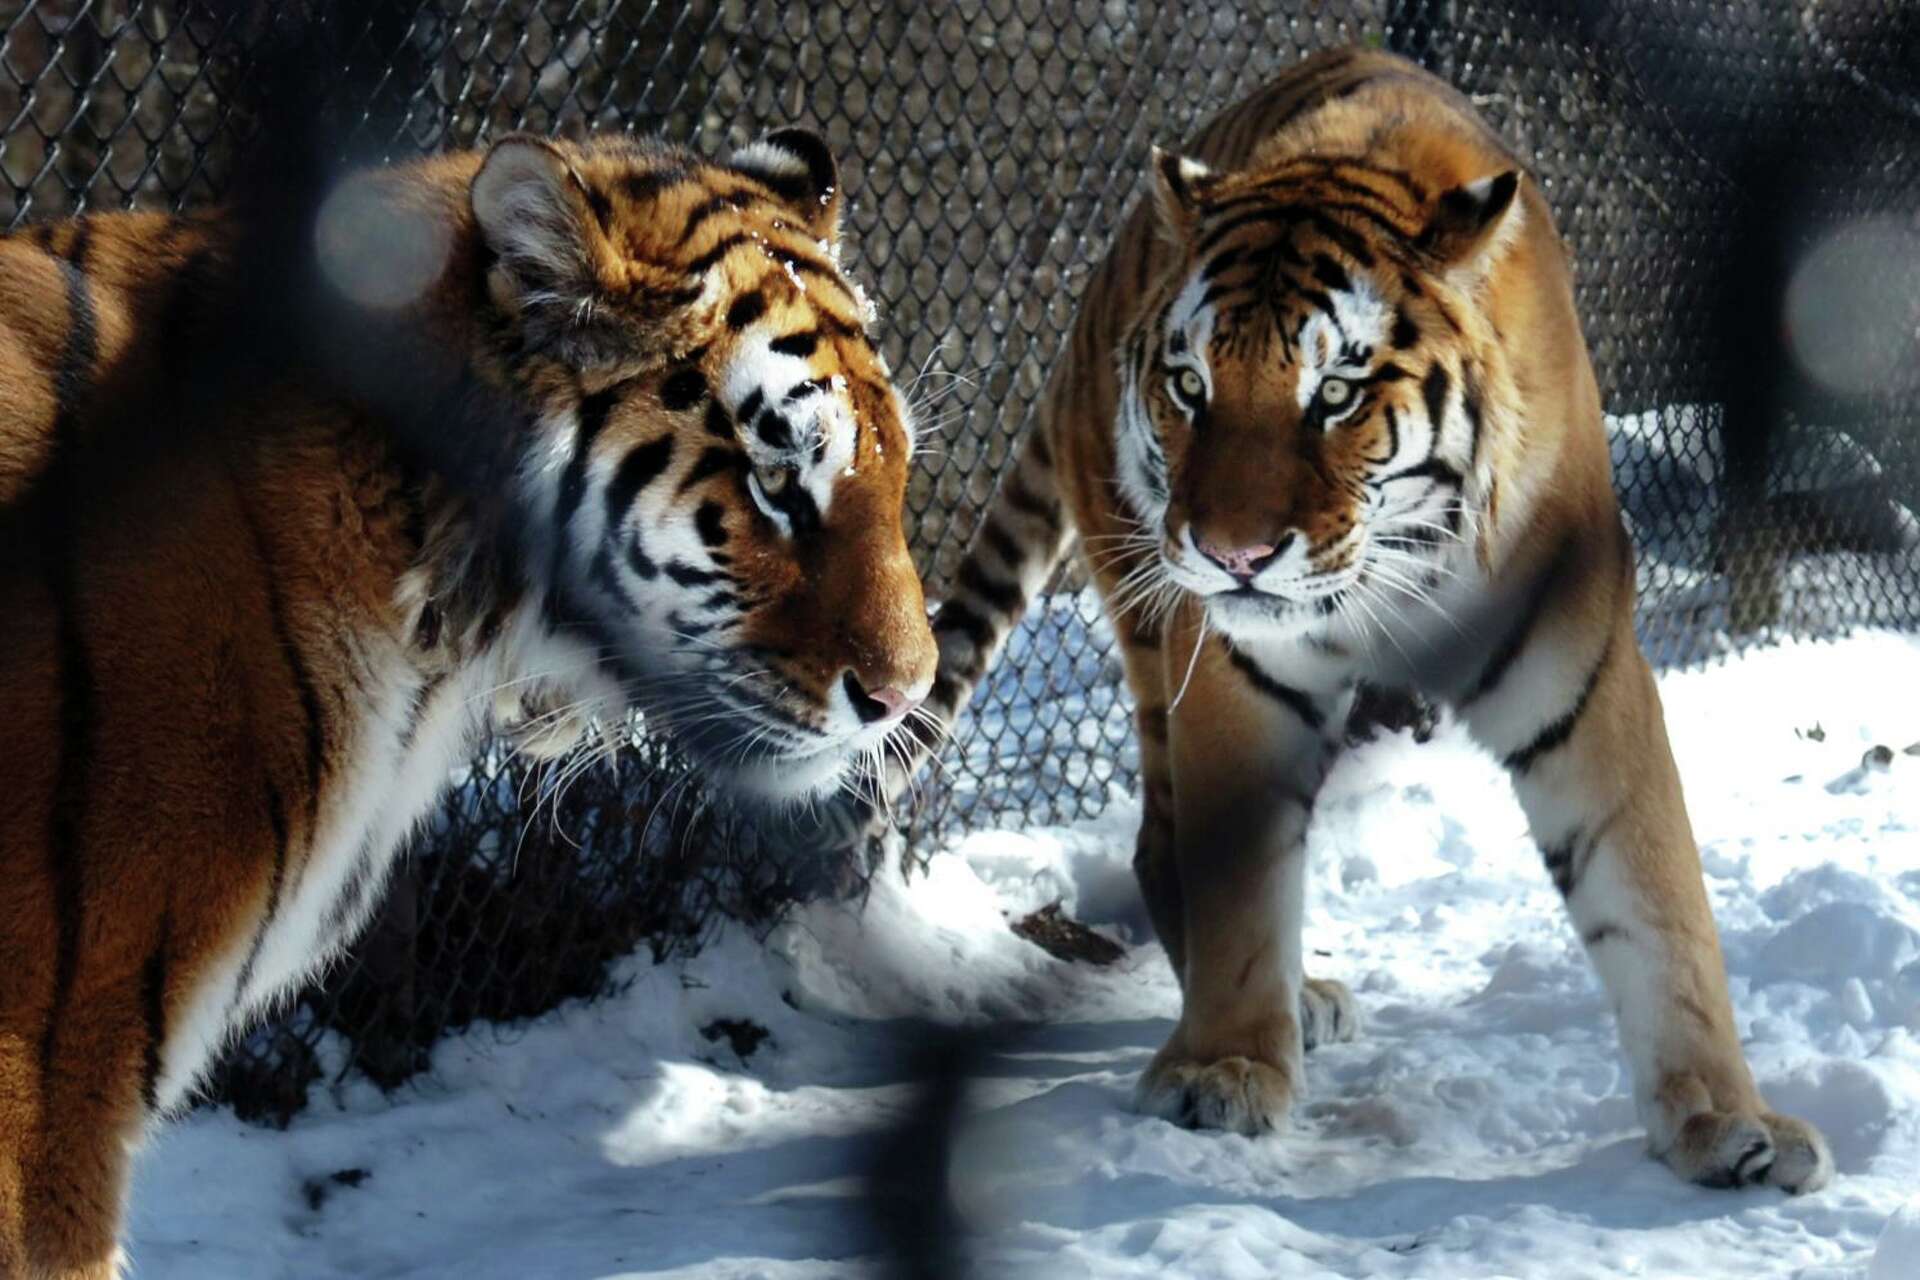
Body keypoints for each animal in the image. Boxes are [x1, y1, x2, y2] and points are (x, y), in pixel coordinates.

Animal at [845, 46, 1835, 1194]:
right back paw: (1278, 1004)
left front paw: (1728, 1118)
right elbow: (1241, 890)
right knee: (1161, 841)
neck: (1394, 563)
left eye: (1336, 393)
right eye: (1190, 385)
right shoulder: (1237, 669)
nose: (1231, 553)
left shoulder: (1584, 673)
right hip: (1148, 616)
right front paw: (1226, 1064)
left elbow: (1660, 903)